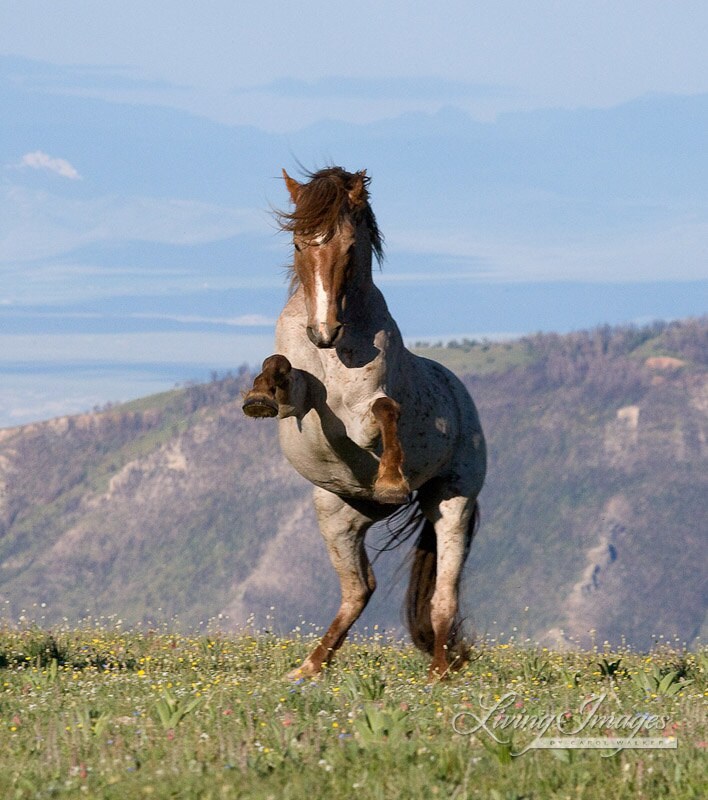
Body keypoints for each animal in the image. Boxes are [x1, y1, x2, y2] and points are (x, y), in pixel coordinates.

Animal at [242, 167, 486, 680]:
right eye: (299, 243)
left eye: (349, 248)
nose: (323, 332)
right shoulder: (299, 402)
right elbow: (279, 369)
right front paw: (257, 396)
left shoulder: (363, 411)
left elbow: (383, 412)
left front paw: (391, 480)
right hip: (339, 513)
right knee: (359, 589)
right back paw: (308, 669)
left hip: (452, 502)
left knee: (443, 597)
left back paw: (437, 676)